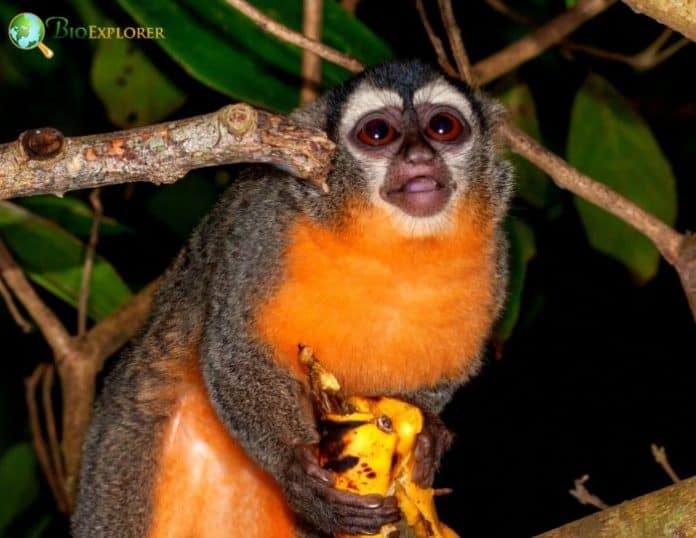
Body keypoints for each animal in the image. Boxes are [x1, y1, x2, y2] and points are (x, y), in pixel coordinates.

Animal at [71, 59, 512, 538]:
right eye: (378, 133)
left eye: (443, 127)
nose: (418, 157)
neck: (393, 242)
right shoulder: (264, 226)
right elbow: (235, 351)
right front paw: (297, 477)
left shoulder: (496, 263)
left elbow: (439, 381)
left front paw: (428, 436)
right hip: (124, 441)